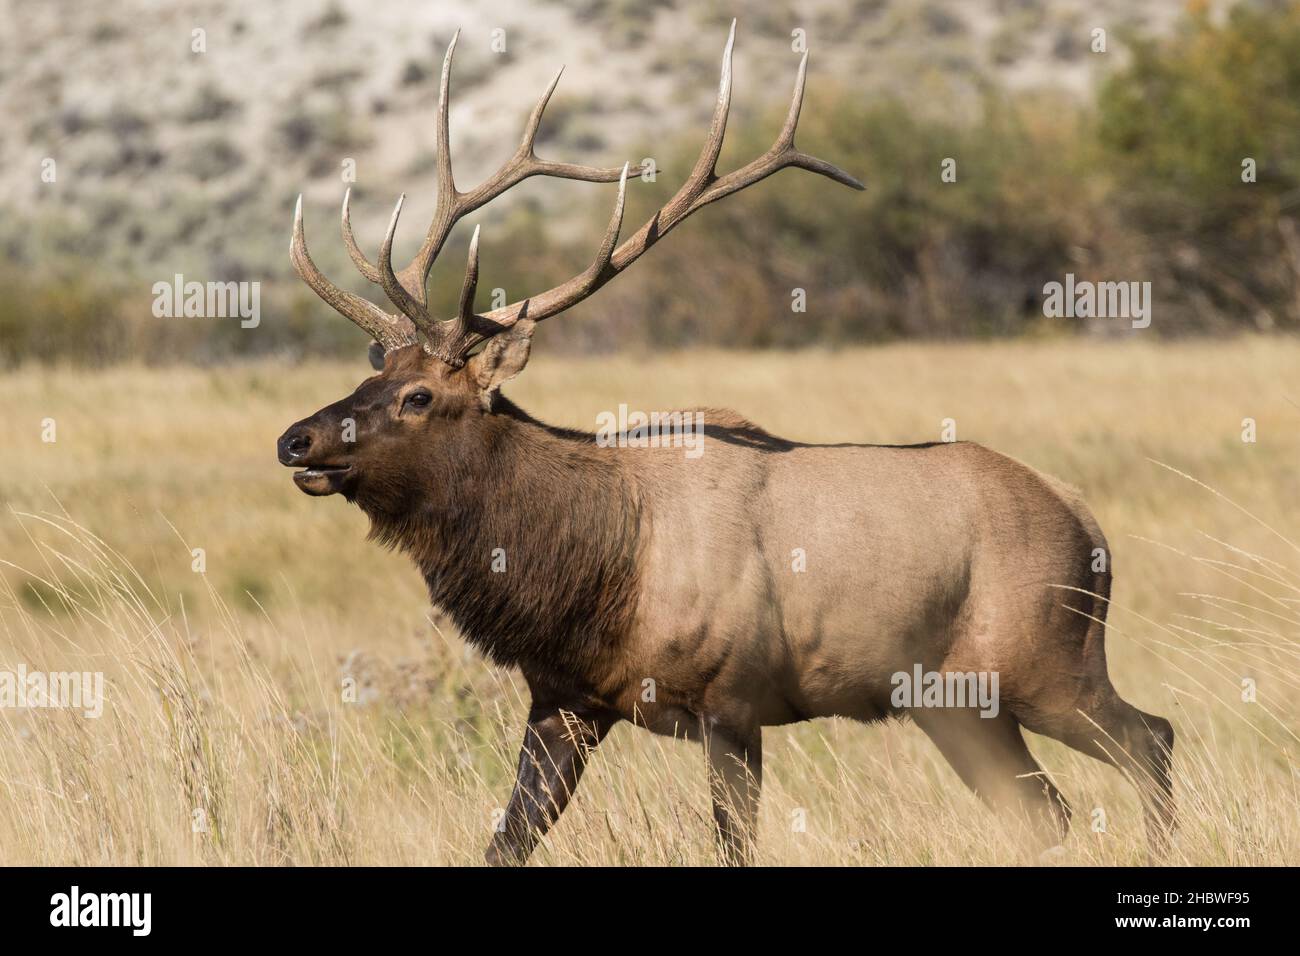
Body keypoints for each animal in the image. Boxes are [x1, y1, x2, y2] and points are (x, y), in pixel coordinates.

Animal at [277, 22, 1174, 866]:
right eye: (375, 372)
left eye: (419, 396)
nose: (295, 439)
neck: (593, 574)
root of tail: (1082, 515)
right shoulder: (565, 701)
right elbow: (507, 840)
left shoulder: (734, 699)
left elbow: (731, 841)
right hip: (956, 704)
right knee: (1046, 811)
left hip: (1050, 663)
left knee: (1151, 740)